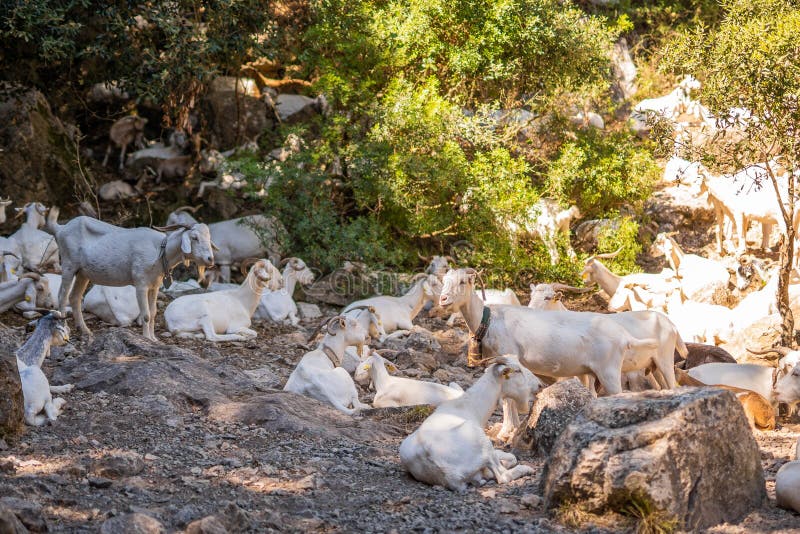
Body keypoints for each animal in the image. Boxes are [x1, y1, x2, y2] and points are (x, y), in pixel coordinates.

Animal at [45, 207, 215, 340]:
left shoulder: (154, 286)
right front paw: (147, 338)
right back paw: (65, 329)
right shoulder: (141, 284)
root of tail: (60, 229)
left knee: (74, 297)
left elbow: (153, 313)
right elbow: (146, 314)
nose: (210, 259)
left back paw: (85, 330)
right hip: (69, 265)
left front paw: (154, 339)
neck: (160, 251)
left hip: (83, 273)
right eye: (194, 237)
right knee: (62, 296)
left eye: (209, 237)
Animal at [399, 355, 538, 492]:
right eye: (517, 370)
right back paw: (525, 469)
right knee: (502, 475)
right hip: (483, 443)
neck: (468, 407)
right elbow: (511, 457)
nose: (539, 385)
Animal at [439, 268, 659, 394]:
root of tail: (624, 336)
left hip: (609, 371)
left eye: (463, 282)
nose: (443, 299)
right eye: (444, 281)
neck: (491, 319)